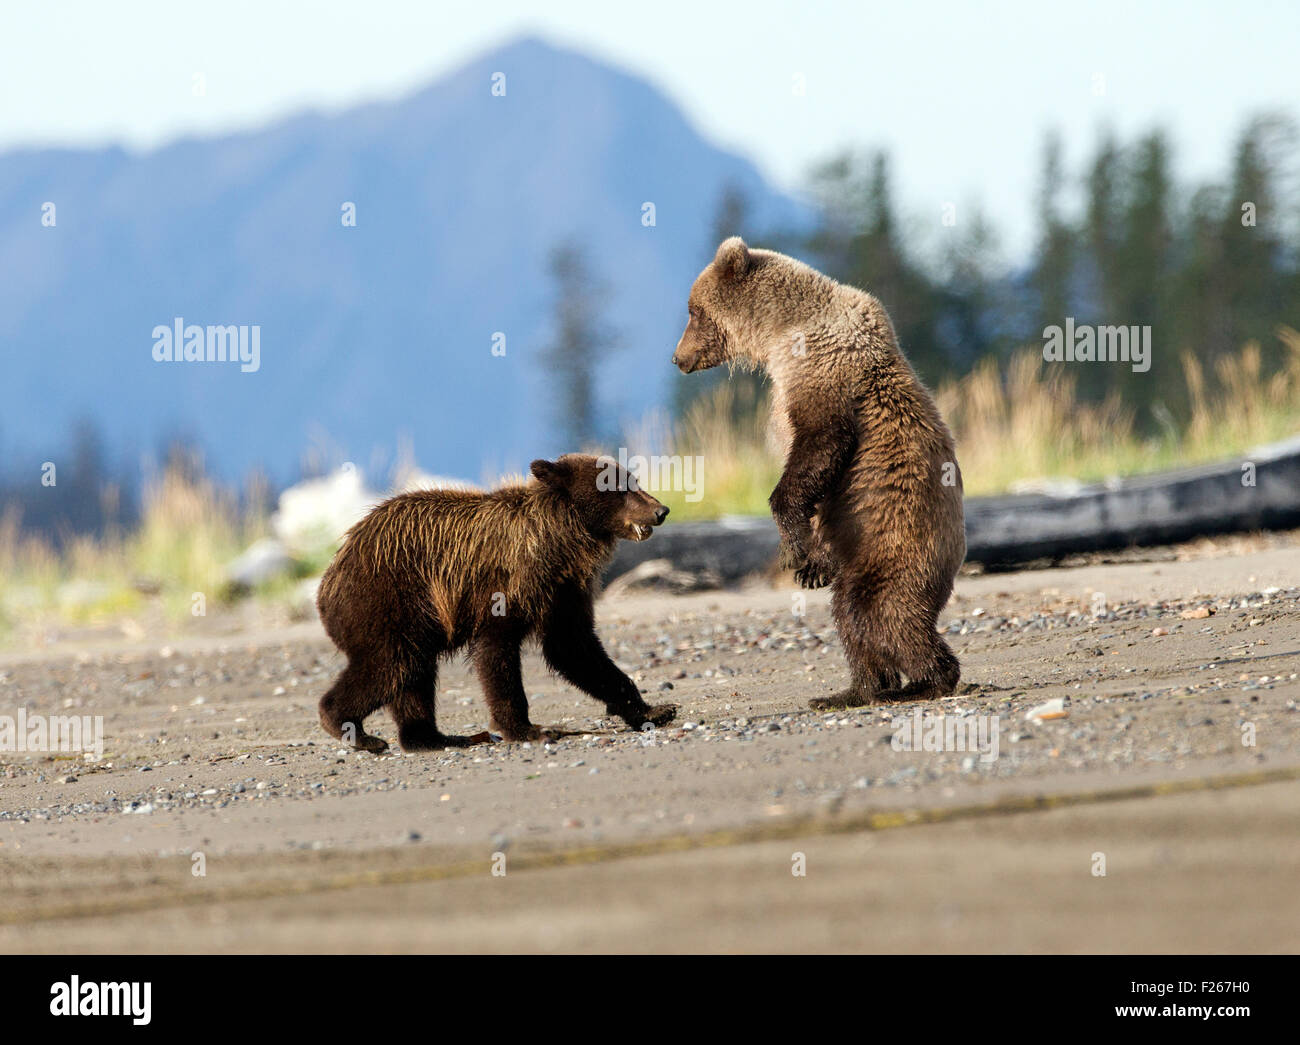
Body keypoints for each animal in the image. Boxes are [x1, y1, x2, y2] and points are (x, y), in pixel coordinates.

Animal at [315, 453, 679, 752]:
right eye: (618, 486)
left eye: (633, 480)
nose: (661, 510)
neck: (560, 541)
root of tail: (330, 573)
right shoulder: (505, 589)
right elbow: (497, 654)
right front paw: (528, 728)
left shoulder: (564, 590)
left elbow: (576, 648)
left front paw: (656, 710)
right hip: (387, 598)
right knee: (392, 663)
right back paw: (354, 730)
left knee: (414, 674)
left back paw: (434, 737)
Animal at [672, 237, 965, 708]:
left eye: (692, 310)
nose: (678, 358)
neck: (778, 333)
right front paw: (810, 562)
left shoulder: (823, 367)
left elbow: (820, 447)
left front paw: (797, 552)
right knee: (849, 614)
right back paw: (854, 690)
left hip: (897, 546)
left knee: (877, 612)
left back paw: (926, 680)